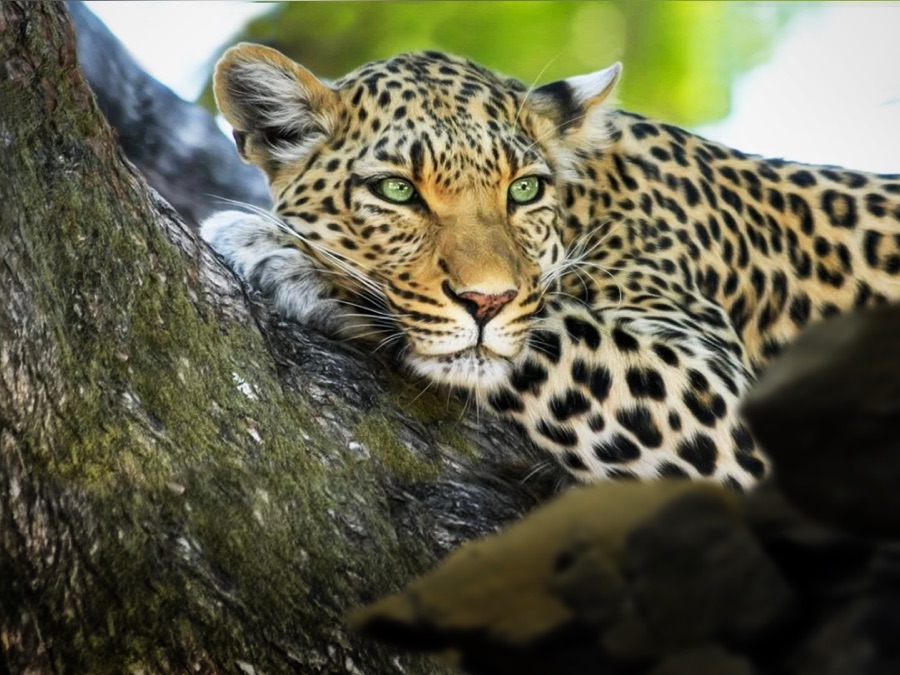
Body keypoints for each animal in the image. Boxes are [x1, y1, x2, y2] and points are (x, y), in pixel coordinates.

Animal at [201, 43, 900, 491]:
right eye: (397, 191)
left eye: (524, 190)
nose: (486, 302)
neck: (592, 200)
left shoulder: (720, 393)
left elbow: (552, 327)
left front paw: (284, 254)